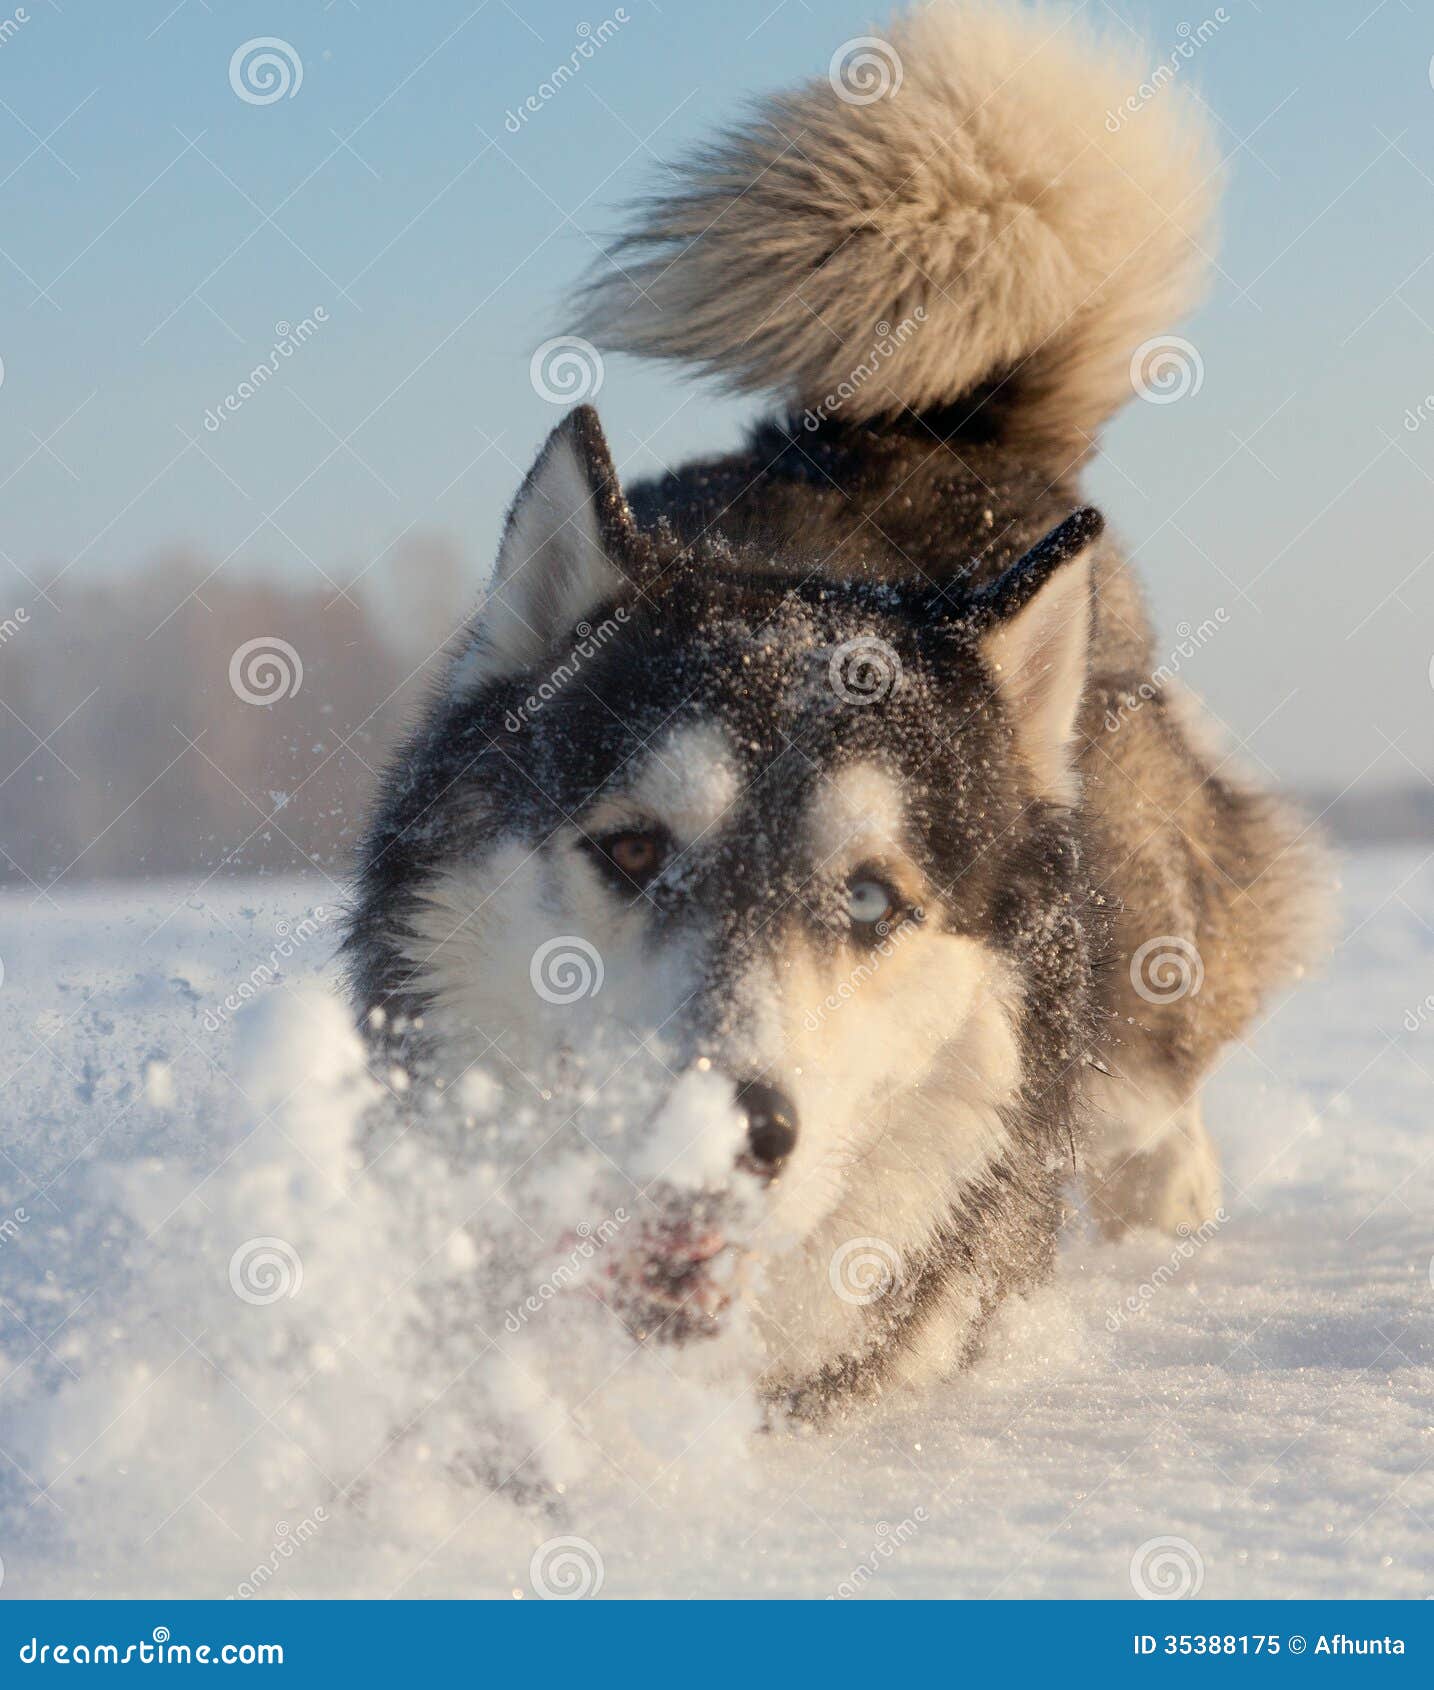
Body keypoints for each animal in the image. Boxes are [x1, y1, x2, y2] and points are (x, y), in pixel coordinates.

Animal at [344, 0, 1324, 1415]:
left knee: (1151, 1106)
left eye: (870, 900)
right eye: (629, 848)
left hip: (1143, 967)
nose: (725, 1130)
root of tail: (930, 432)